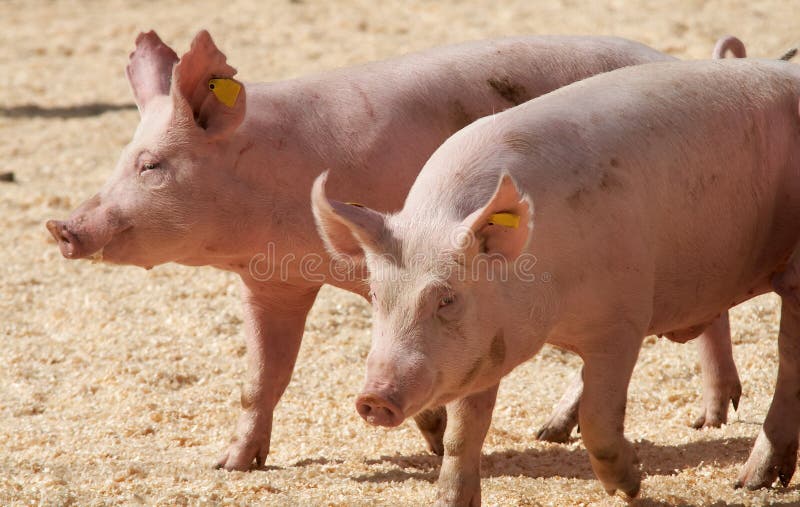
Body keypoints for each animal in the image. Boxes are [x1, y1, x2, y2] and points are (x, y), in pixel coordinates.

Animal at [47, 29, 730, 471]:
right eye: (122, 158)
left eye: (151, 165)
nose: (62, 227)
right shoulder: (274, 282)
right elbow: (263, 376)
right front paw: (230, 465)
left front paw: (431, 436)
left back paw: (702, 420)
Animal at [312, 57, 800, 504]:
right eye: (376, 296)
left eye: (446, 299)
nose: (373, 398)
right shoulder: (483, 349)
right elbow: (464, 432)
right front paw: (451, 498)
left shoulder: (622, 320)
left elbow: (600, 418)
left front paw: (631, 487)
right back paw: (549, 432)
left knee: (788, 362)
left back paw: (751, 483)